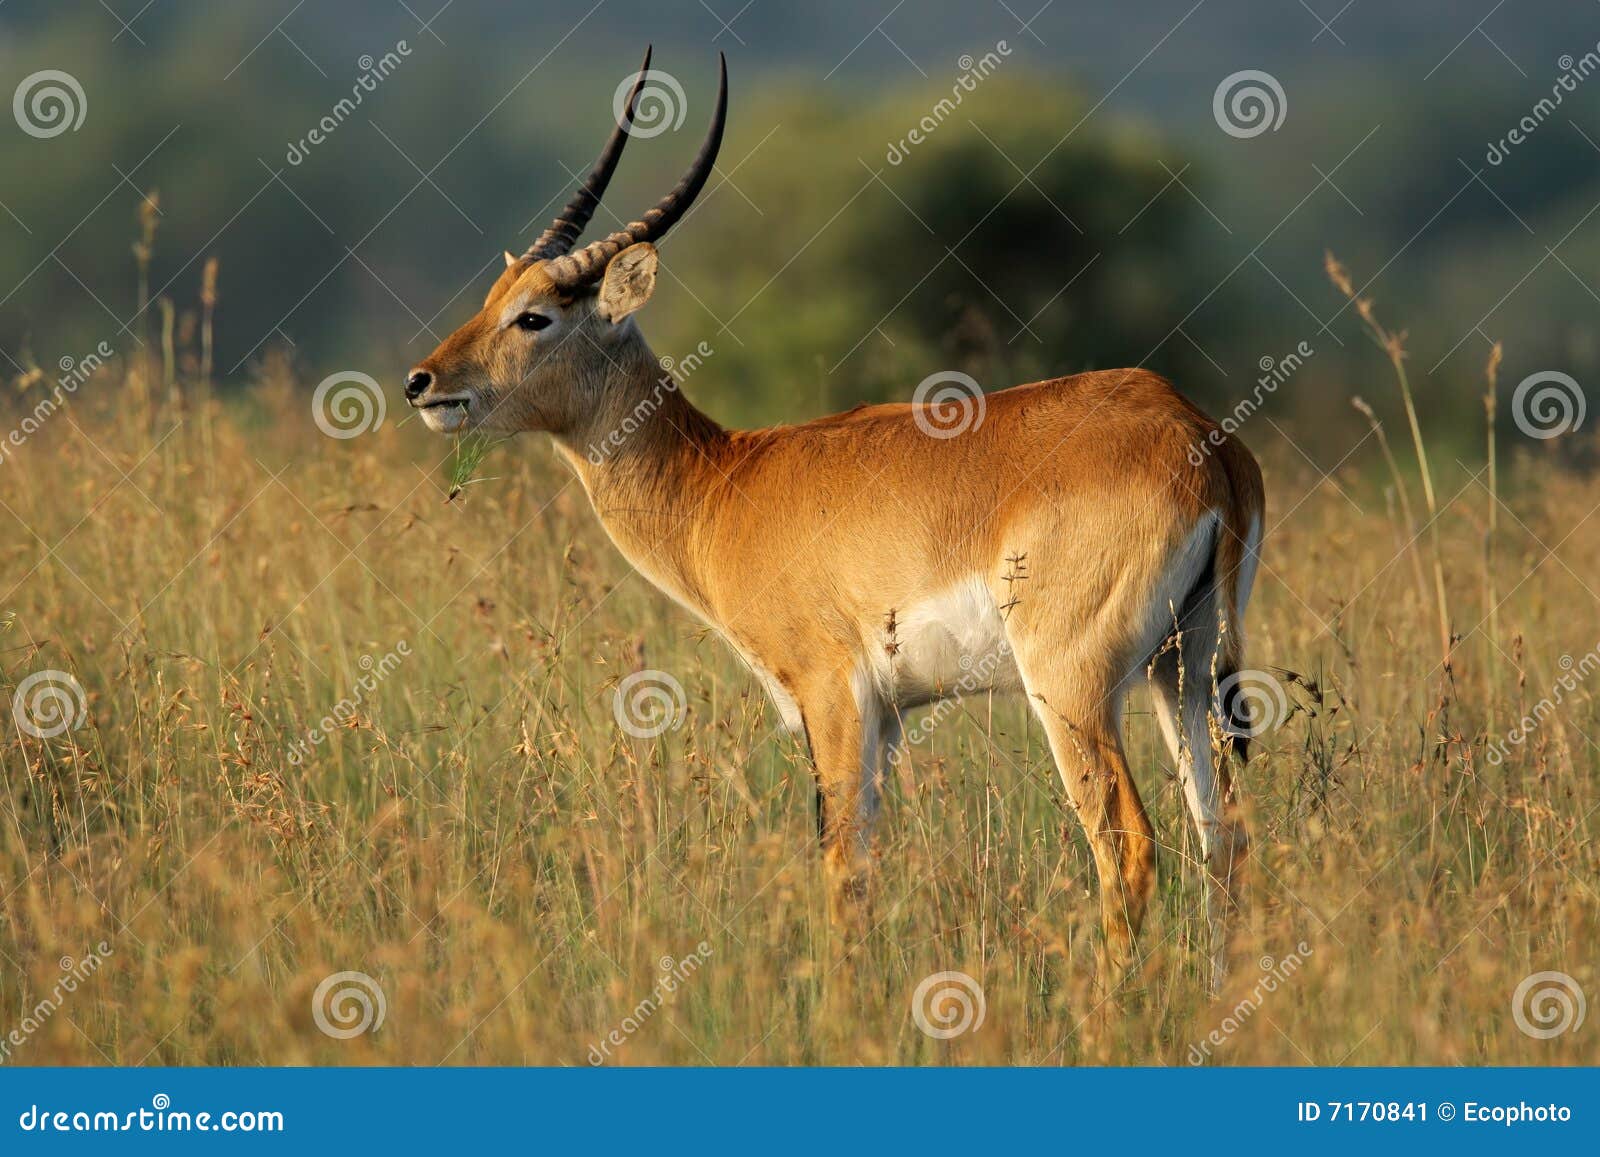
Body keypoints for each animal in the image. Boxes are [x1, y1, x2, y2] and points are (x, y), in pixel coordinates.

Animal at [405, 50, 1265, 978]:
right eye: (493, 295)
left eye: (536, 315)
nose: (423, 382)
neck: (723, 483)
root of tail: (1197, 433)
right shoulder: (885, 720)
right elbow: (865, 865)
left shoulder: (832, 695)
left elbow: (841, 872)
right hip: (1184, 672)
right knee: (1225, 839)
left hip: (1072, 683)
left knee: (1130, 847)